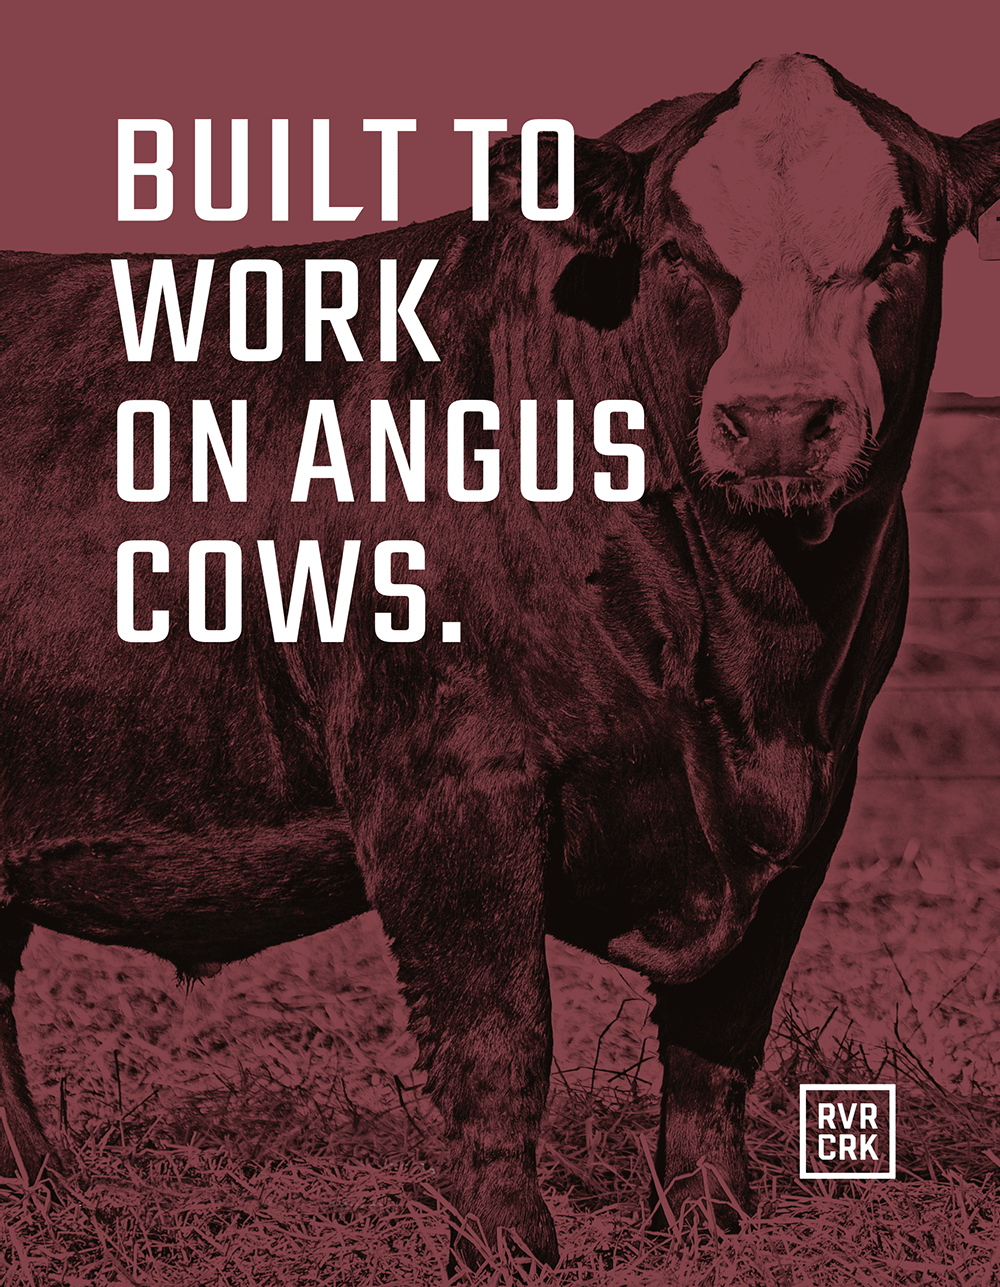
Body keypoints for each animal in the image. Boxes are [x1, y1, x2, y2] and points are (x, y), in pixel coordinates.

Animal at [1, 54, 997, 1269]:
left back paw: (45, 1189)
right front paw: (503, 1243)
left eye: (902, 244)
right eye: (677, 251)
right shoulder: (446, 774)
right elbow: (497, 1030)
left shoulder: (820, 785)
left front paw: (708, 1216)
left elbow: (722, 1027)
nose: (774, 418)